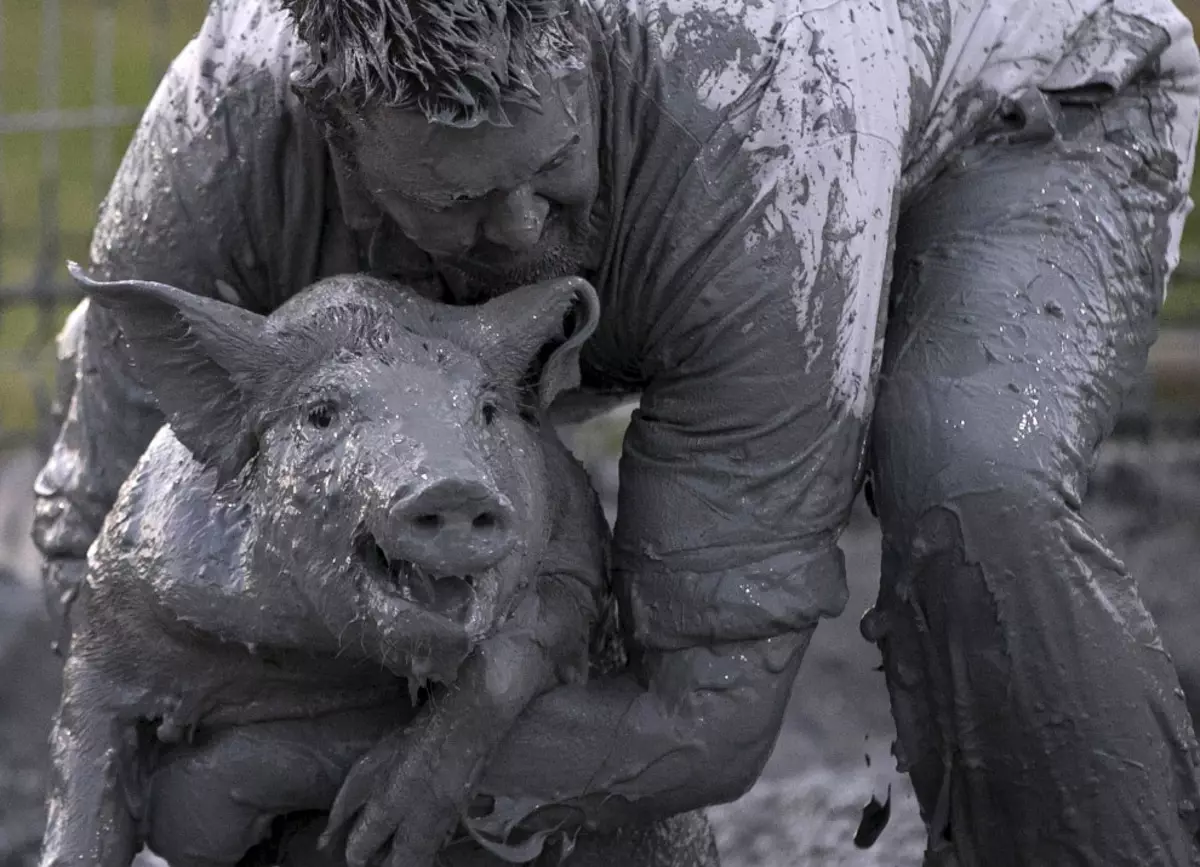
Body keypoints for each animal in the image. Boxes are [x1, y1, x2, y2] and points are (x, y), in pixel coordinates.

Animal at [42, 261, 720, 864]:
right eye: (321, 413)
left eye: (486, 411)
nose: (452, 488)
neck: (325, 659)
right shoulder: (116, 601)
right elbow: (87, 769)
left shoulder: (578, 545)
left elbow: (513, 649)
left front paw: (374, 838)